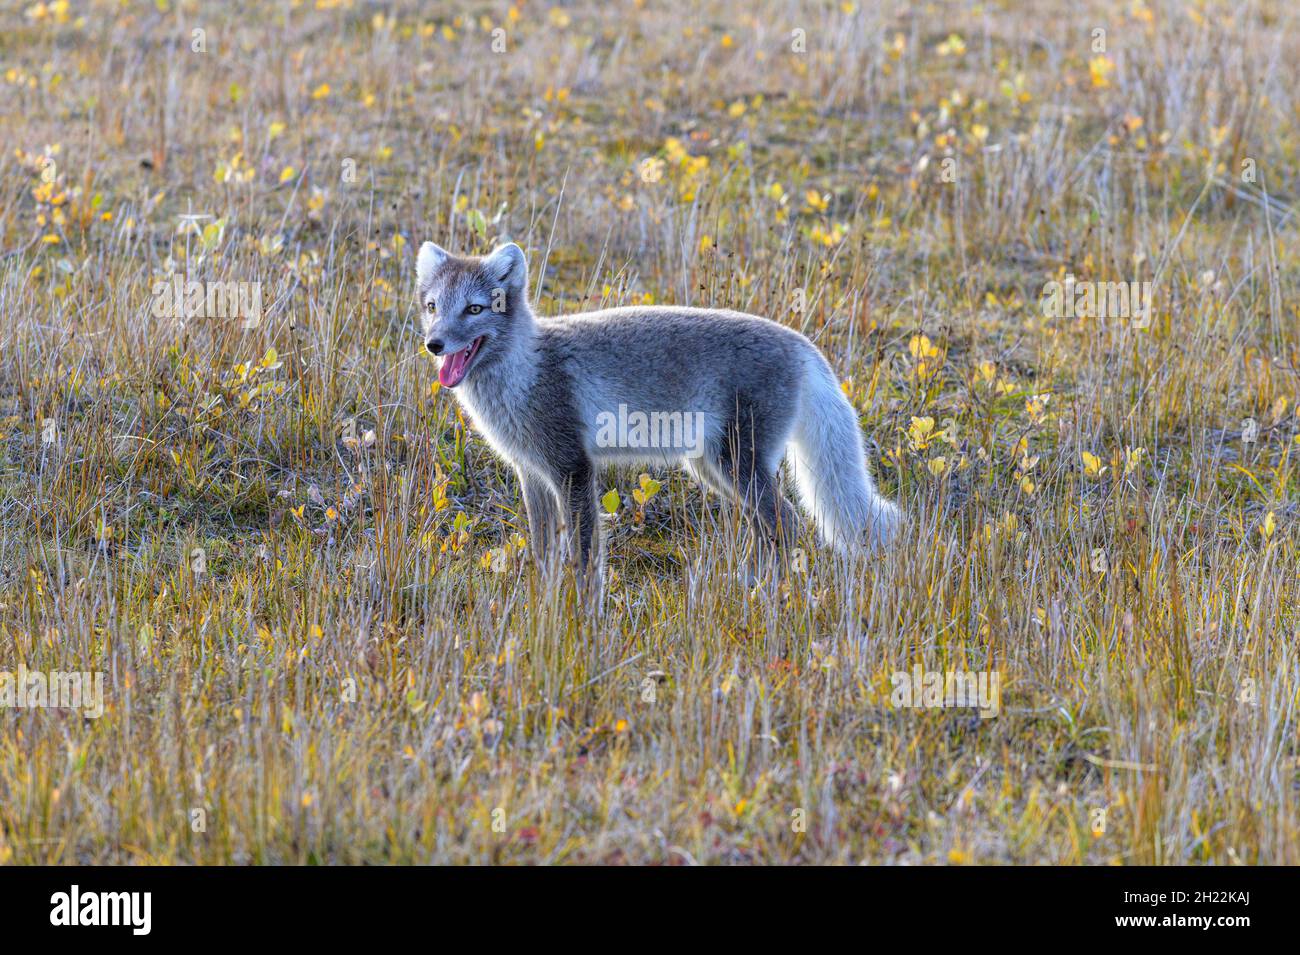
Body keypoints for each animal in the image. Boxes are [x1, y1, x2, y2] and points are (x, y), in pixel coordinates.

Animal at [415, 240, 900, 578]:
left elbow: (587, 559)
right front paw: (546, 610)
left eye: (474, 309)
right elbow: (546, 555)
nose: (434, 344)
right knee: (768, 527)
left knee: (787, 524)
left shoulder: (572, 468)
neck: (525, 370)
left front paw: (583, 621)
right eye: (433, 306)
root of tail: (801, 343)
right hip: (712, 468)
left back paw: (766, 593)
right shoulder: (531, 472)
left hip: (737, 464)